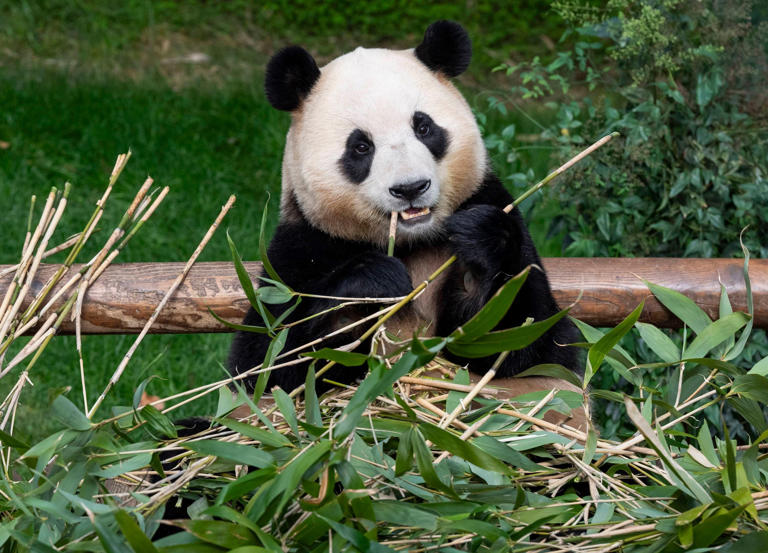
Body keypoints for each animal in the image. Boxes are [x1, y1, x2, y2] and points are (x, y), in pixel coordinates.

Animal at [229, 21, 582, 415]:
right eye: (361, 146)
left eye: (424, 128)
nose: (411, 187)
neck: (412, 242)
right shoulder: (302, 247)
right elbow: (269, 365)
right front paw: (371, 284)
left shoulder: (491, 201)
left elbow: (529, 342)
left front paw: (480, 244)